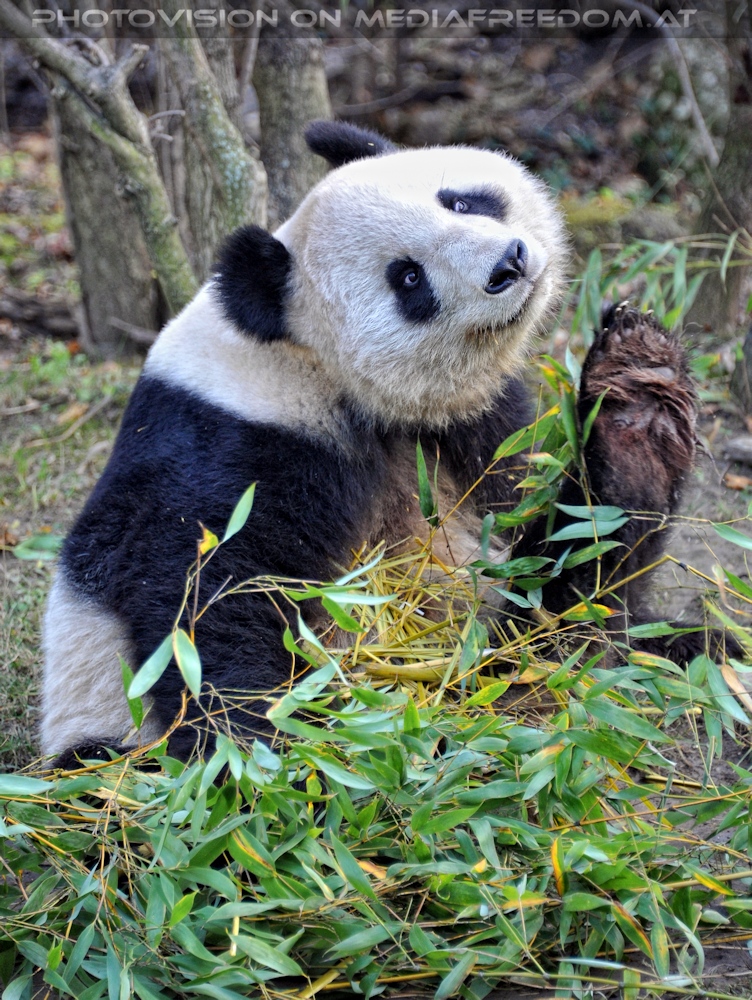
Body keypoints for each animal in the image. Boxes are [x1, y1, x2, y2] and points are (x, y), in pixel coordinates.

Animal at [41, 120, 700, 765]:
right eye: (408, 277)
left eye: (459, 200)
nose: (508, 263)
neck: (308, 361)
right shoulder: (231, 442)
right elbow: (201, 597)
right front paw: (261, 749)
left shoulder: (475, 428)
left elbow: (552, 549)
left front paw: (635, 410)